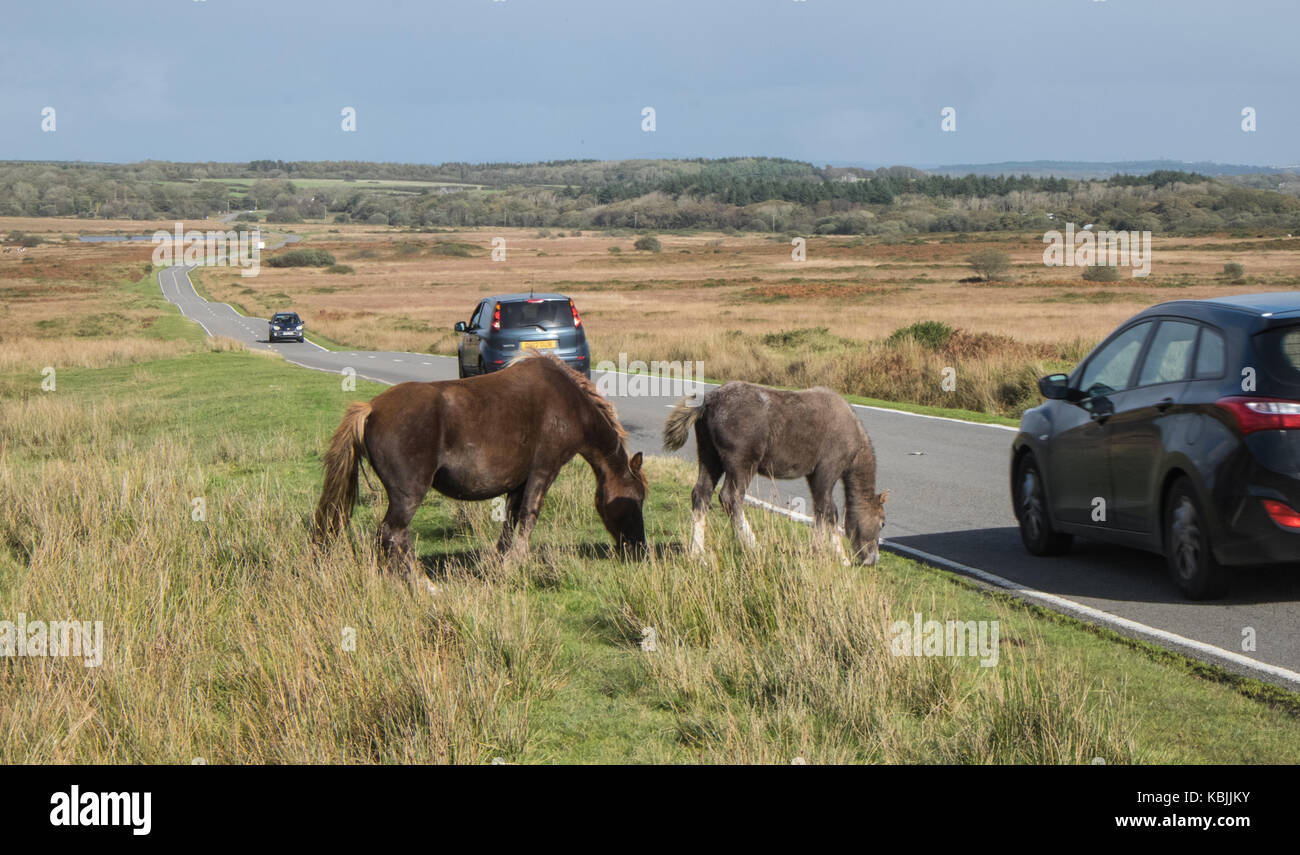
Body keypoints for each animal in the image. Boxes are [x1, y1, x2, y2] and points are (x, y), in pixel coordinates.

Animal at [313, 352, 647, 570]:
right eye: (637, 499)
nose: (639, 547)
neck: (569, 402)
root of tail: (370, 409)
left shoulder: (519, 481)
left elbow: (511, 520)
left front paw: (501, 560)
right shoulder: (544, 469)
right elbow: (529, 516)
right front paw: (515, 562)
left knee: (396, 536)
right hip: (408, 493)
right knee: (393, 534)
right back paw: (422, 585)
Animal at [662, 381, 888, 565]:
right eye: (882, 523)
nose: (872, 559)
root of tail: (708, 401)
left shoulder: (813, 475)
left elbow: (819, 510)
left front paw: (819, 550)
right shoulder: (827, 470)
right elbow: (829, 511)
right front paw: (839, 557)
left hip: (709, 456)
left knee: (701, 494)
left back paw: (697, 552)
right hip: (742, 464)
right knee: (730, 497)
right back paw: (753, 545)